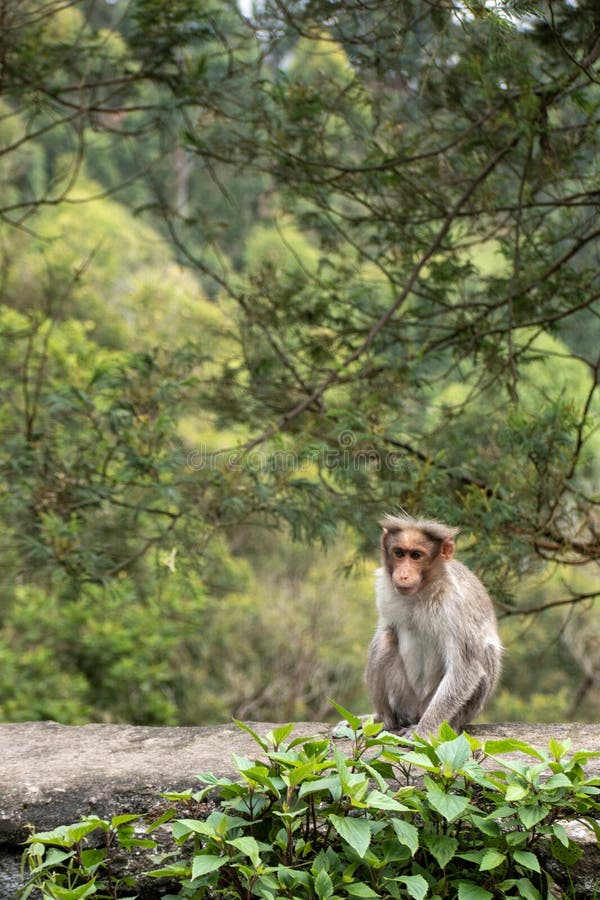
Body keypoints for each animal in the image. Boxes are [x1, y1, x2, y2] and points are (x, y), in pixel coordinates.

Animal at [366, 514, 502, 737]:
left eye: (416, 556)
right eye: (399, 553)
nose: (403, 574)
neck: (422, 591)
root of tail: (416, 712)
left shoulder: (455, 606)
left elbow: (466, 669)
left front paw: (423, 732)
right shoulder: (384, 591)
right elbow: (385, 628)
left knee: (486, 651)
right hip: (405, 699)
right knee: (386, 637)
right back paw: (385, 720)